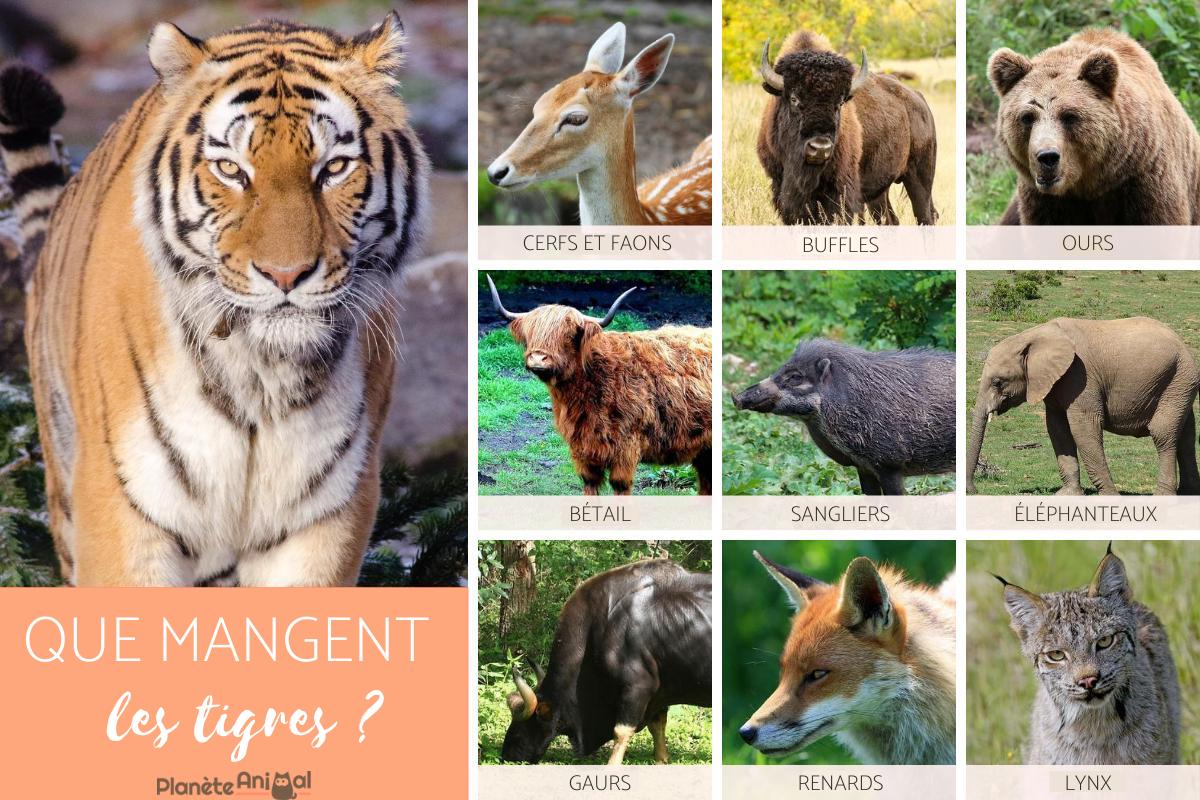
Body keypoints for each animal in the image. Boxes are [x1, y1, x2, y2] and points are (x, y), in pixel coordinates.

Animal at [0, 15, 429, 586]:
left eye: (335, 168)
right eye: (231, 170)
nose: (285, 274)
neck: (260, 378)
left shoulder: (325, 517)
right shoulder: (122, 510)